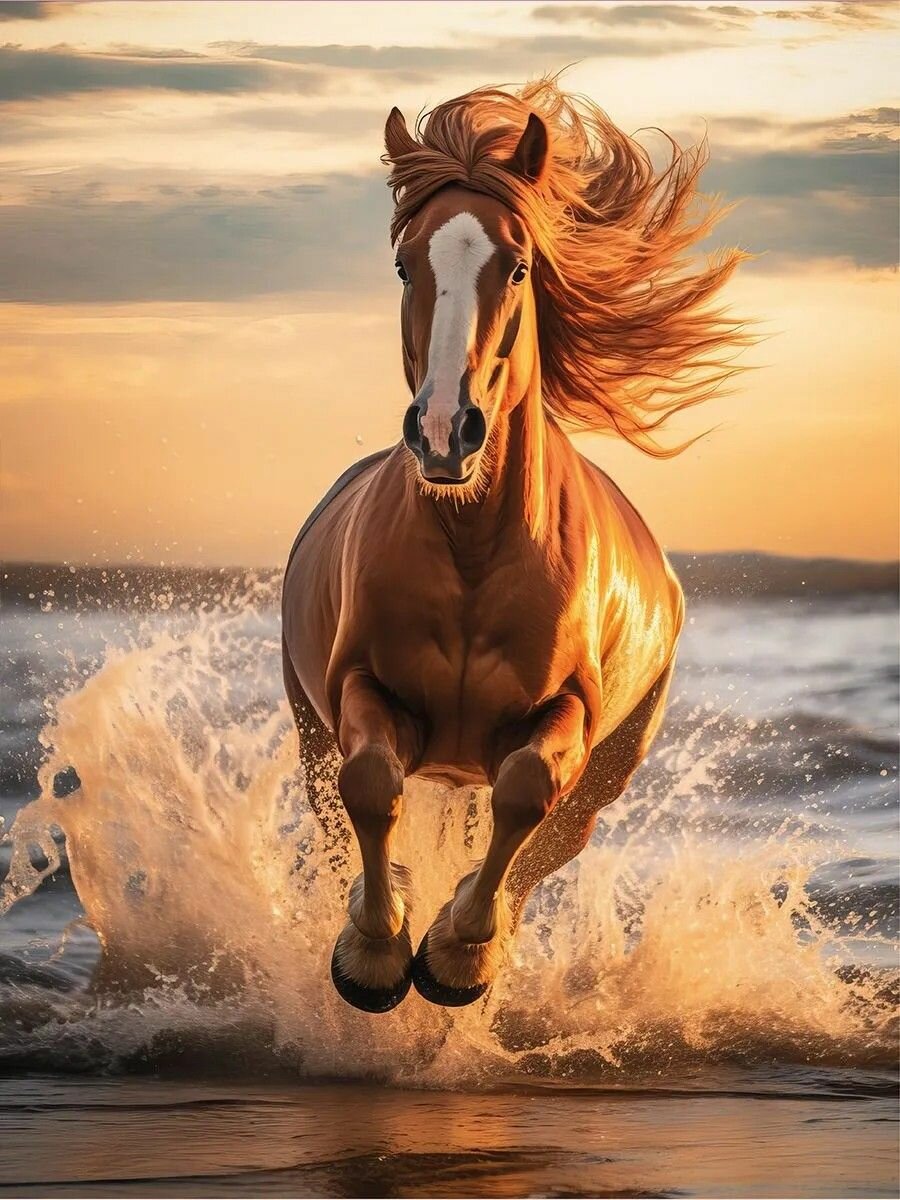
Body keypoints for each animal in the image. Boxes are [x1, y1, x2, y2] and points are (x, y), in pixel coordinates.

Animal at [282, 81, 747, 1012]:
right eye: (405, 265)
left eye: (521, 265)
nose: (443, 431)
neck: (472, 549)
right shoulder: (358, 687)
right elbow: (371, 786)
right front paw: (375, 952)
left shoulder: (565, 712)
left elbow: (527, 796)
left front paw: (456, 955)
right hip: (311, 732)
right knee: (339, 811)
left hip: (606, 777)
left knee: (547, 843)